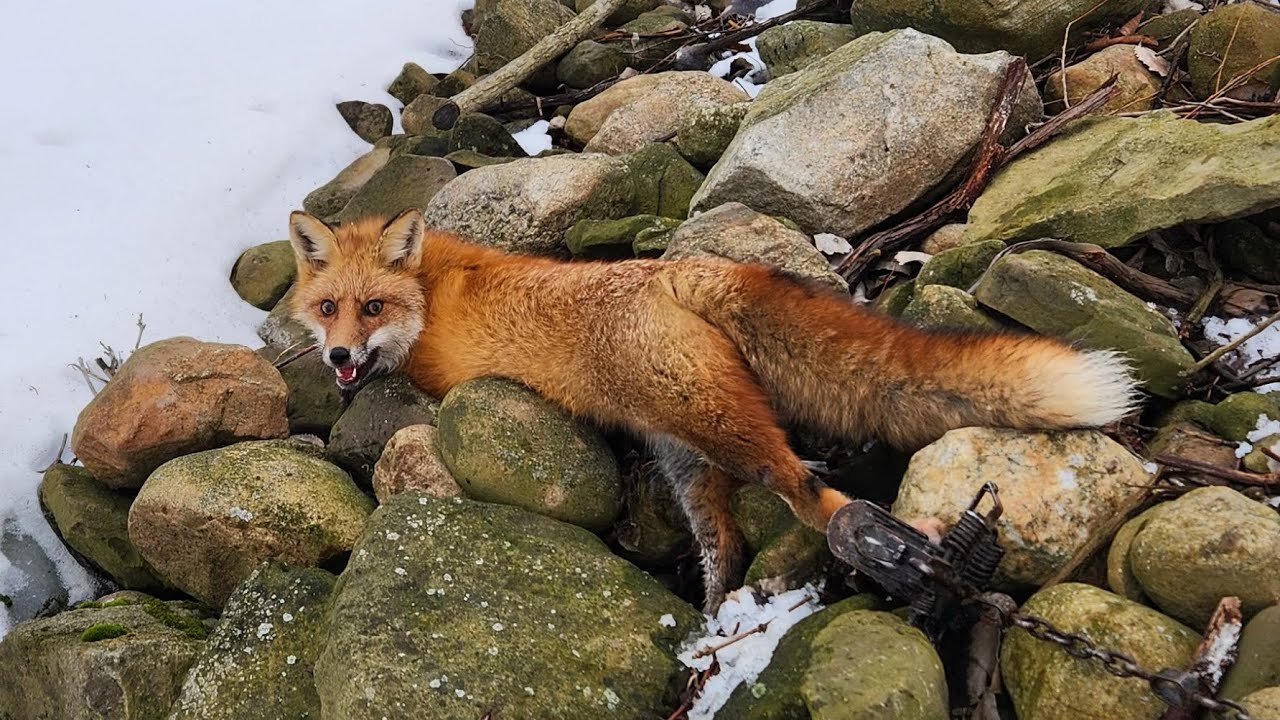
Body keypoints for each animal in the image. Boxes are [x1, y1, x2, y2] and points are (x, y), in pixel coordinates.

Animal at [287, 208, 1139, 610]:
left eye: (371, 307)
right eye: (328, 308)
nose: (338, 359)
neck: (432, 292)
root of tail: (682, 269)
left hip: (720, 431)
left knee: (806, 488)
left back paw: (877, 539)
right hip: (685, 459)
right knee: (722, 545)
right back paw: (718, 618)